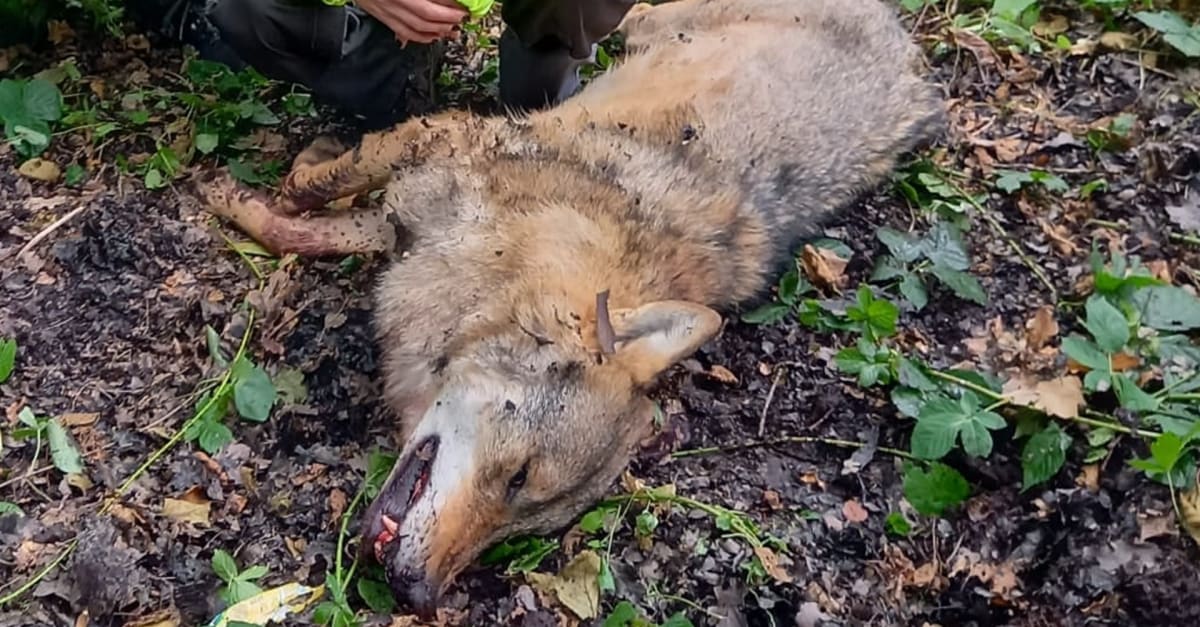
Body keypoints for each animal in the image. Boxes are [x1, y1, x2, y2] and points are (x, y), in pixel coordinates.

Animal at [193, 0, 944, 614]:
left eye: (522, 520)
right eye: (519, 475)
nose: (419, 595)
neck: (520, 264)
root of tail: (909, 47)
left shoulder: (407, 220)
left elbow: (305, 224)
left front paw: (257, 197)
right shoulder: (432, 149)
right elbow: (315, 194)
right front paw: (251, 190)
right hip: (656, 22)